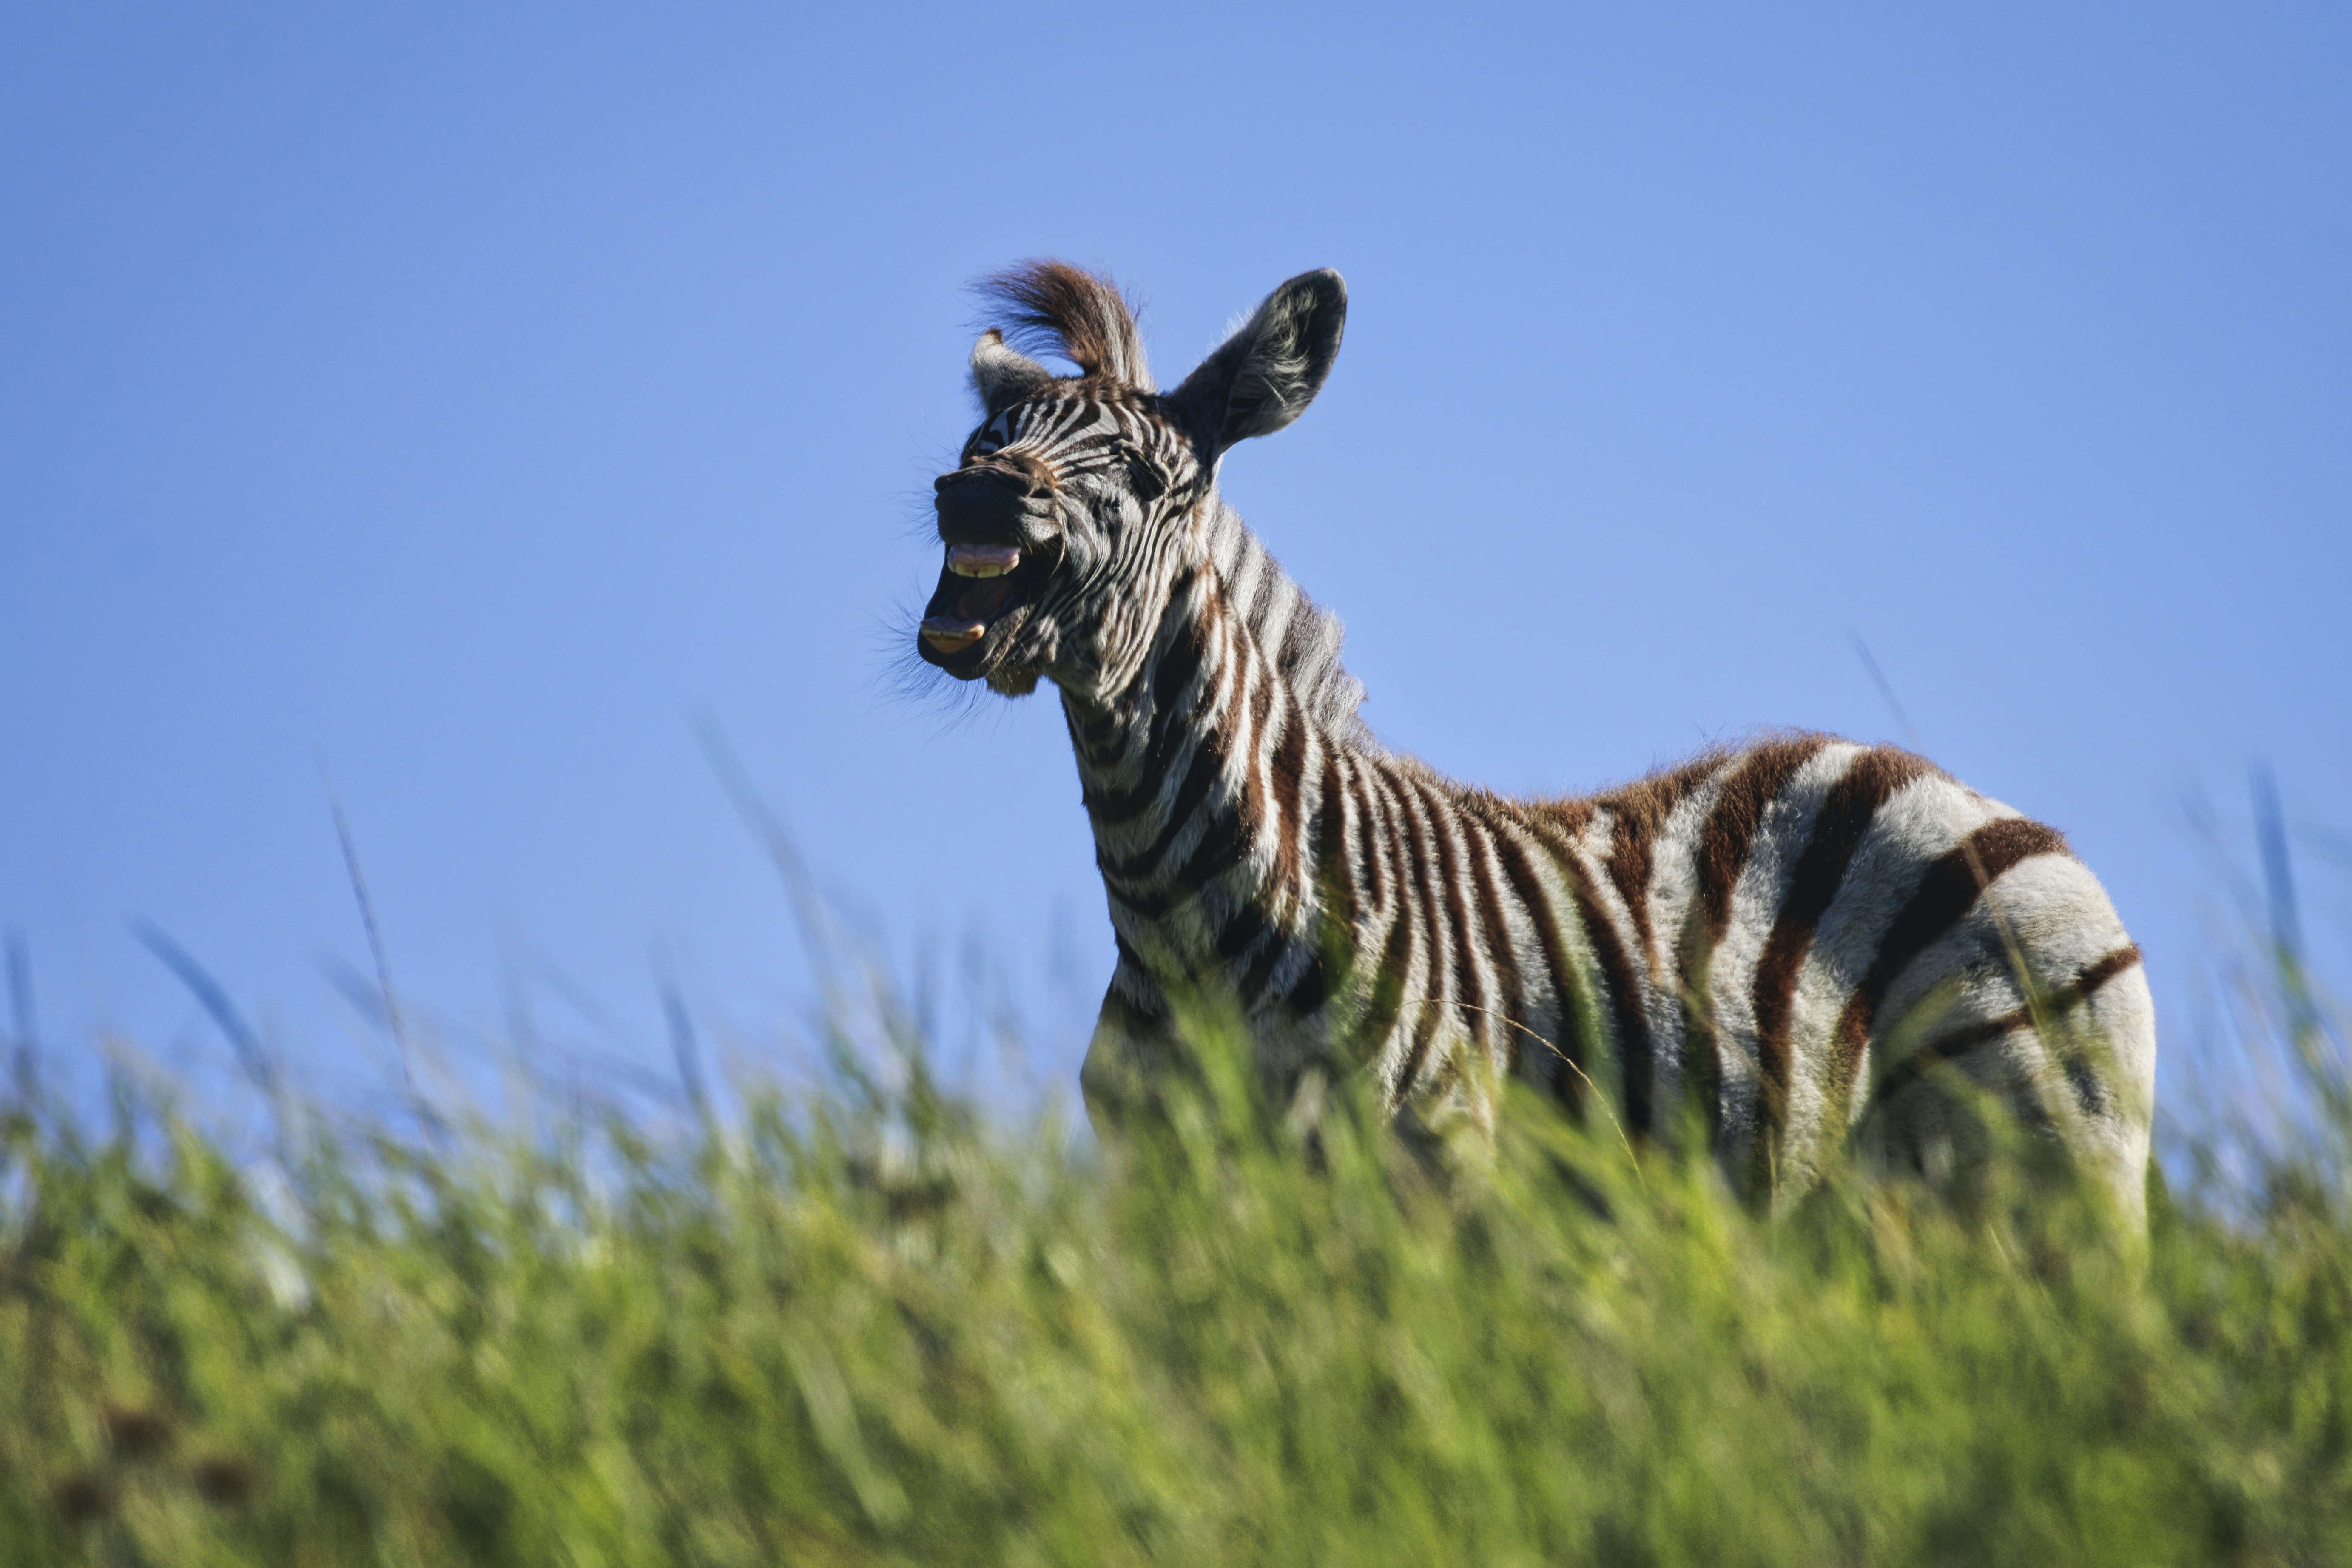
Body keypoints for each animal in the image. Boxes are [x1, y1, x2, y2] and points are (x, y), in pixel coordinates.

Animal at [915, 261, 2156, 1224]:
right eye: (984, 438)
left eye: (1146, 479)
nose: (975, 493)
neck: (1176, 899)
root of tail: (1950, 787)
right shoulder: (1166, 1192)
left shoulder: (1437, 1173)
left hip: (2052, 1171)